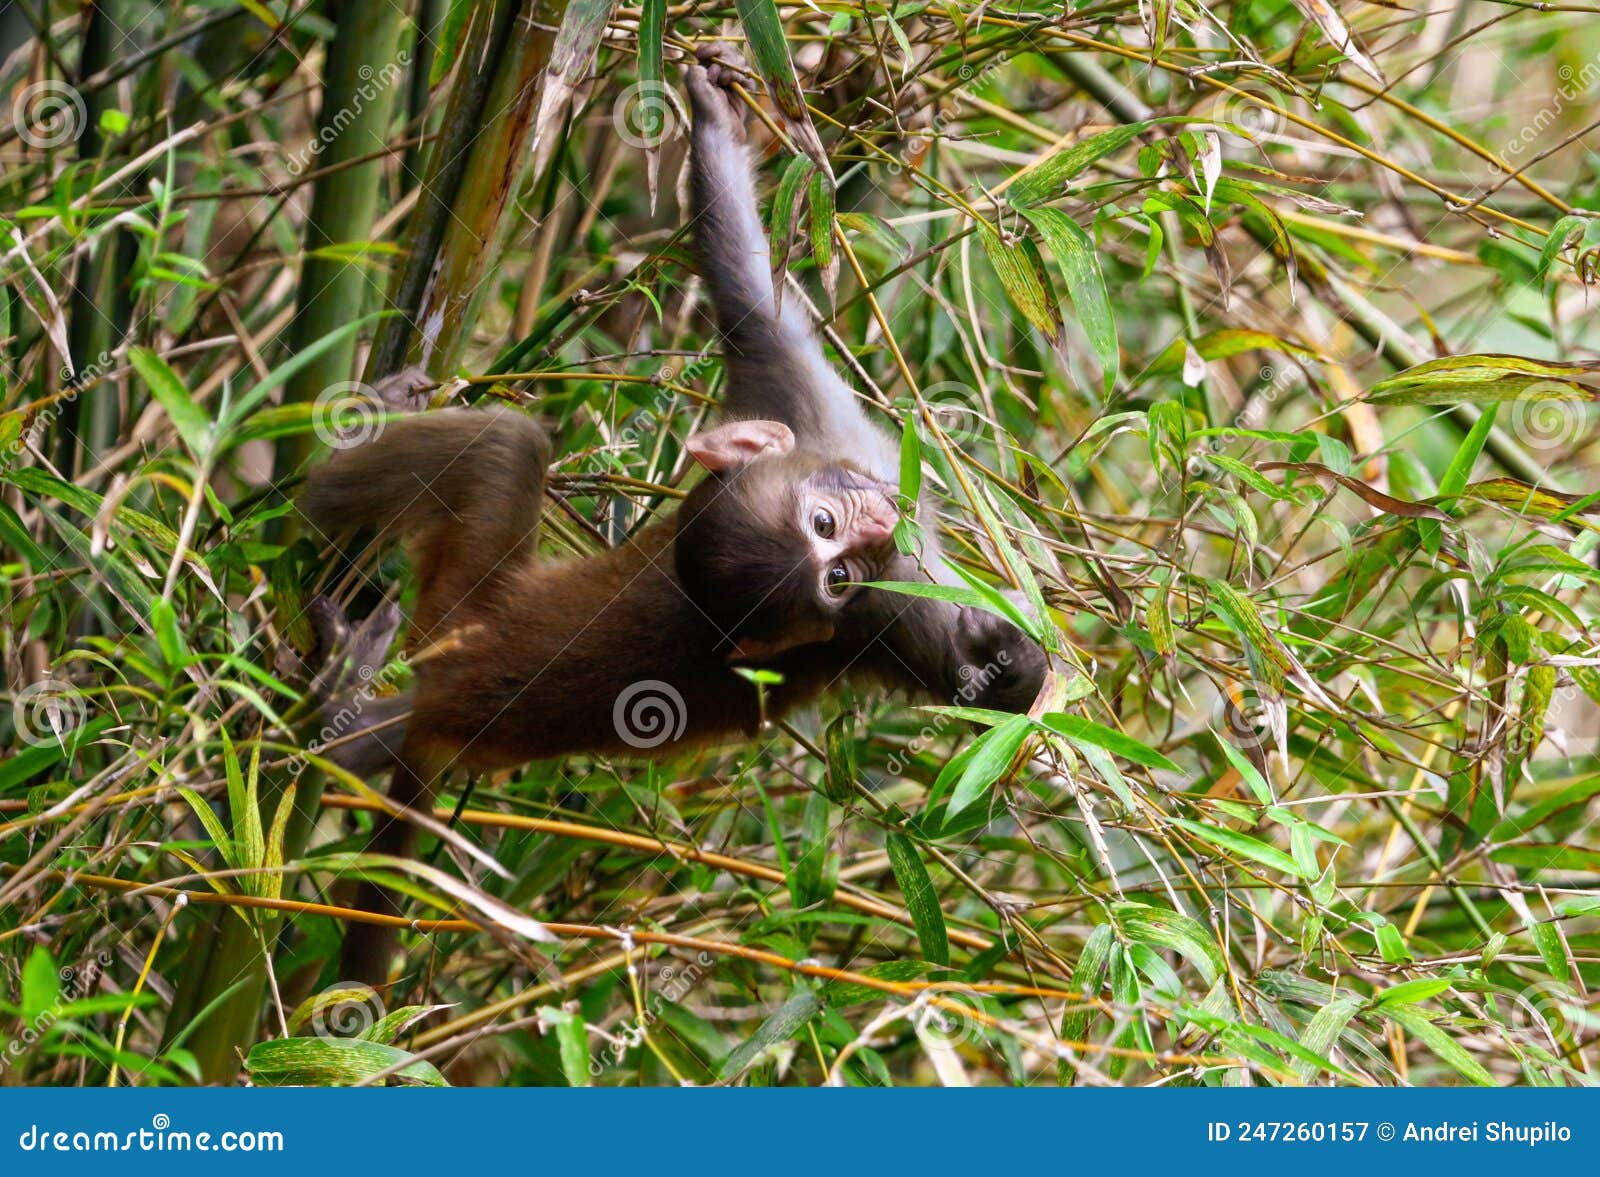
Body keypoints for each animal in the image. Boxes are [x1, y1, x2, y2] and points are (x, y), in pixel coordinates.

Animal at [301, 59, 1047, 984]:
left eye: (831, 528)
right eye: (832, 566)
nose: (874, 527)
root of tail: (447, 697)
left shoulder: (809, 418)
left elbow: (749, 297)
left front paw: (712, 117)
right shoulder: (890, 607)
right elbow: (997, 688)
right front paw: (1007, 655)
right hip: (457, 609)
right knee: (505, 449)